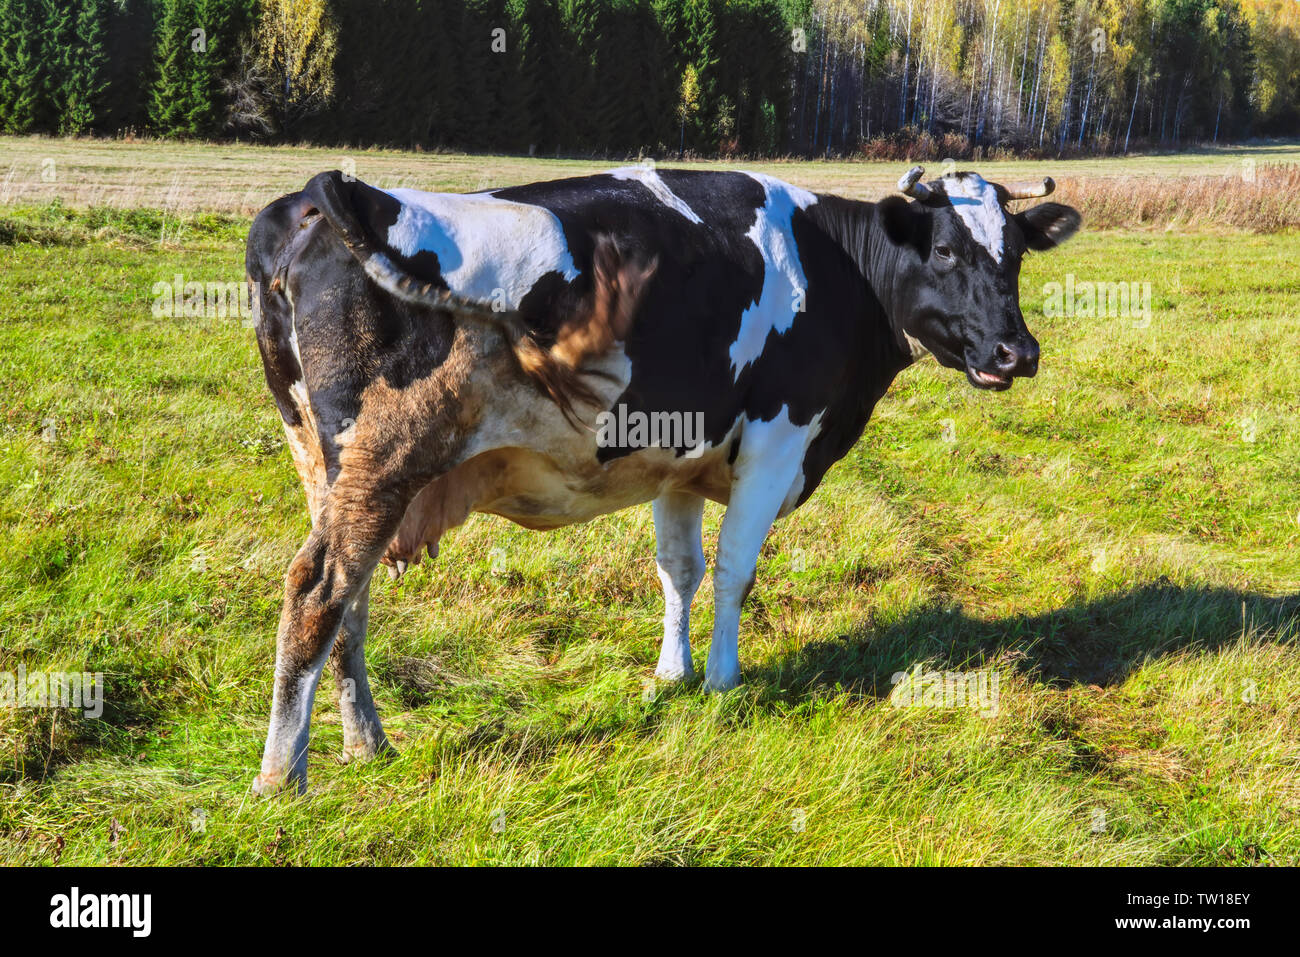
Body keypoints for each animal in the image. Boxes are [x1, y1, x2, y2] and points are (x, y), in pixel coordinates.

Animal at [245, 163, 1081, 794]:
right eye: (943, 251)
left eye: (1016, 255)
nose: (1015, 351)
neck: (837, 268)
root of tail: (316, 200)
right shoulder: (779, 437)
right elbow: (735, 570)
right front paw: (721, 681)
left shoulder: (684, 456)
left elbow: (680, 568)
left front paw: (672, 674)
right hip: (384, 456)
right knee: (318, 590)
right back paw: (282, 777)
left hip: (325, 462)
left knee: (348, 601)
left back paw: (368, 743)